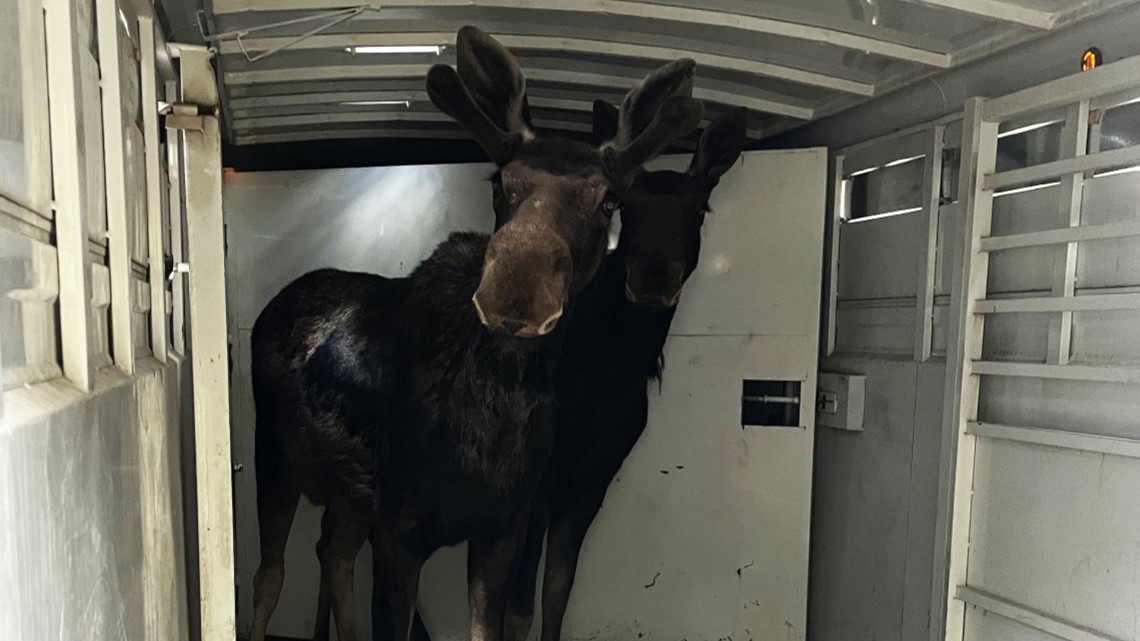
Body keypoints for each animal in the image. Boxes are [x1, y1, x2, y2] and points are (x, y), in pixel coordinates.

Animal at [247, 26, 702, 641]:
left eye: (609, 200)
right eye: (500, 182)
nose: (515, 290)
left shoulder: (502, 525)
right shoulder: (399, 528)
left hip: (348, 498)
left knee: (332, 554)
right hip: (273, 456)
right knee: (269, 574)